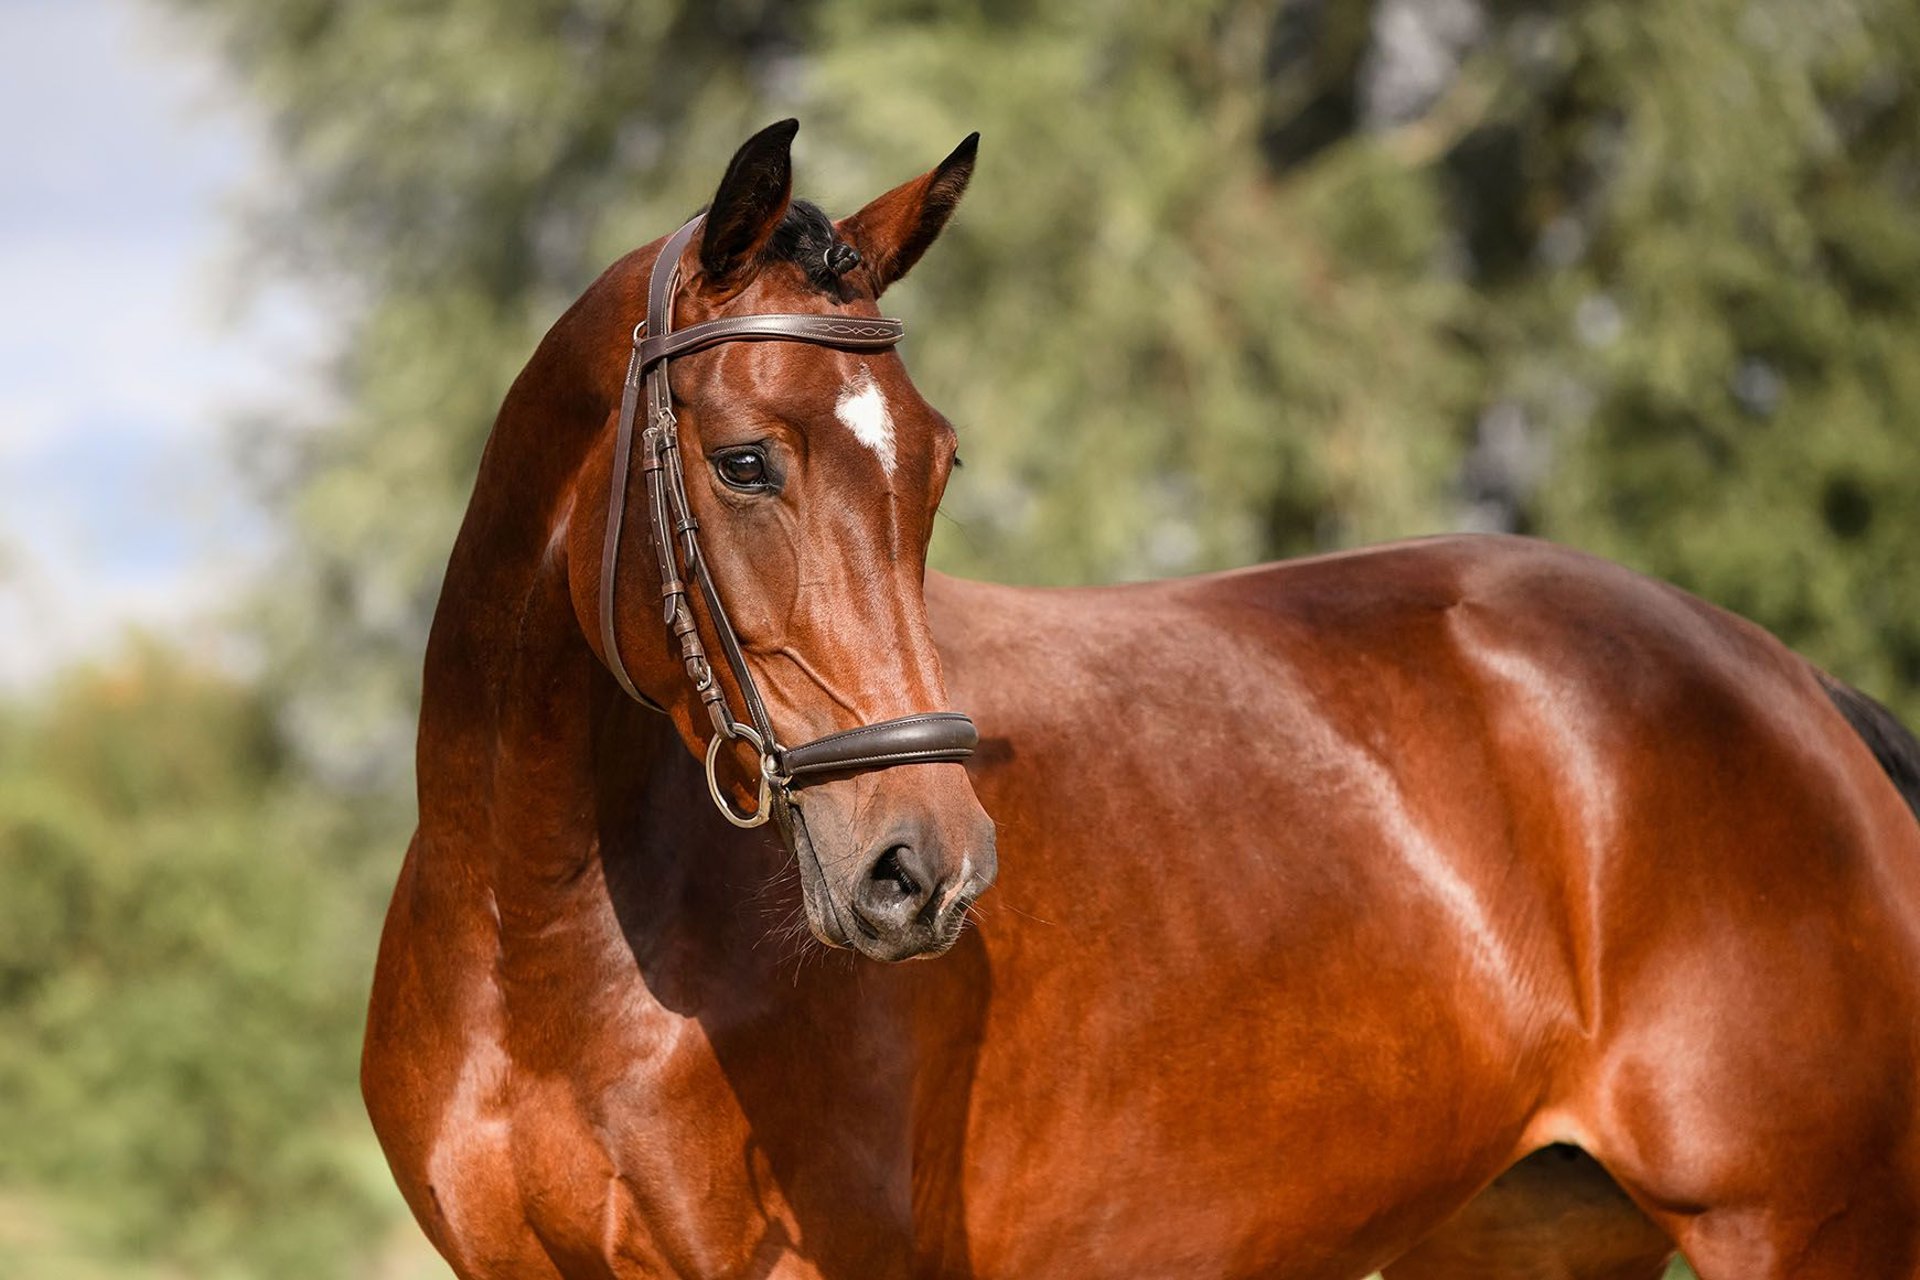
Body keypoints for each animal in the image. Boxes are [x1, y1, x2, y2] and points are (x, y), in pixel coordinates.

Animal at [362, 119, 1920, 1279]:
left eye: (937, 464)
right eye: (744, 462)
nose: (924, 869)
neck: (541, 937)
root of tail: (1791, 687)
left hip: (1801, 1229)